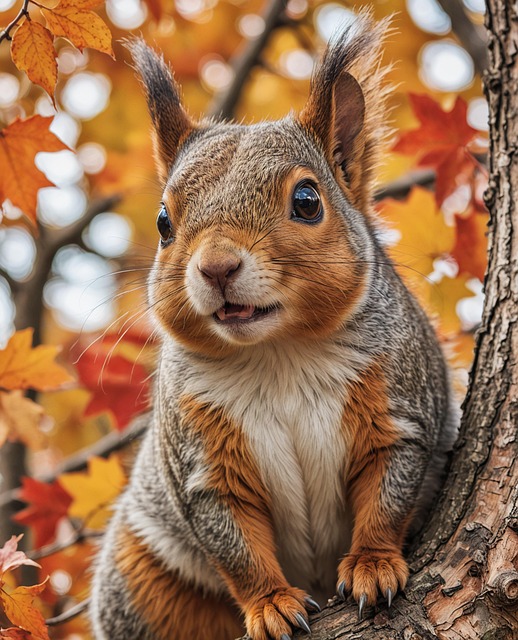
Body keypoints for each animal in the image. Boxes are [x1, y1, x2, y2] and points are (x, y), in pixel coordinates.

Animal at [89, 13, 458, 640]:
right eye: (163, 222)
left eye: (308, 200)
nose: (216, 267)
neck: (278, 353)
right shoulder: (203, 462)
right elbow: (235, 544)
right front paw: (270, 604)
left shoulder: (400, 408)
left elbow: (387, 496)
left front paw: (373, 565)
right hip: (143, 577)